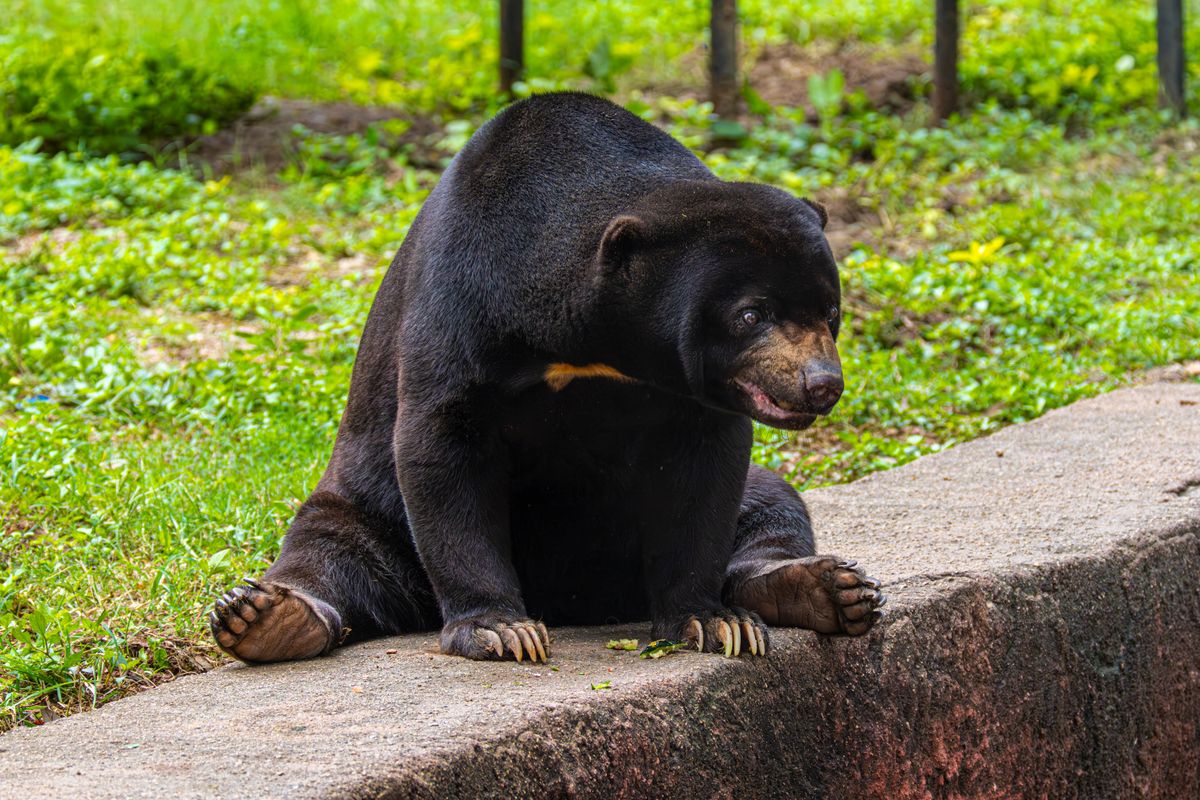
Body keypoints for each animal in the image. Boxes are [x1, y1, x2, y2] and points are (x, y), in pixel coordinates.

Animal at [209, 92, 884, 664]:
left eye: (830, 314)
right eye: (750, 315)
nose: (821, 384)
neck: (589, 340)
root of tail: (586, 602)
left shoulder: (690, 397)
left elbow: (707, 470)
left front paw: (713, 622)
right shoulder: (461, 305)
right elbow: (441, 441)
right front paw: (502, 630)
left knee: (773, 502)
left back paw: (827, 588)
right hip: (370, 507)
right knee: (331, 547)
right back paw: (265, 616)